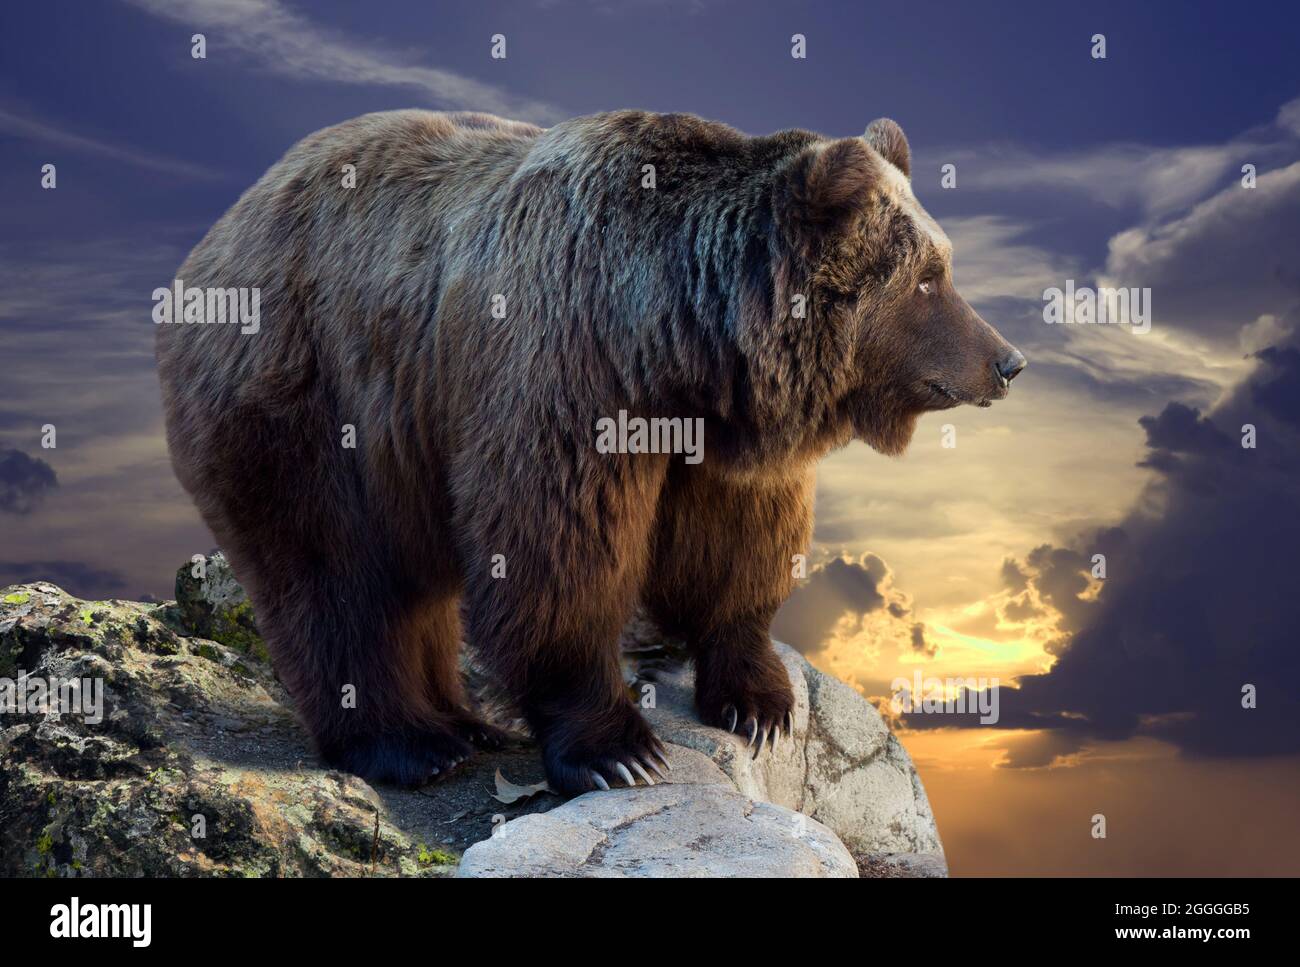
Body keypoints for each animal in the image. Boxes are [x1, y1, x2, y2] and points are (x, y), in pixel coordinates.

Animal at [156, 109, 1024, 795]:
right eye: (929, 276)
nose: (1007, 361)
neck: (675, 335)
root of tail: (213, 239)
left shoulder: (712, 435)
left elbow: (734, 545)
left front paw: (758, 699)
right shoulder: (565, 373)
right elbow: (558, 554)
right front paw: (618, 748)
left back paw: (462, 720)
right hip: (305, 396)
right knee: (334, 574)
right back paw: (411, 742)